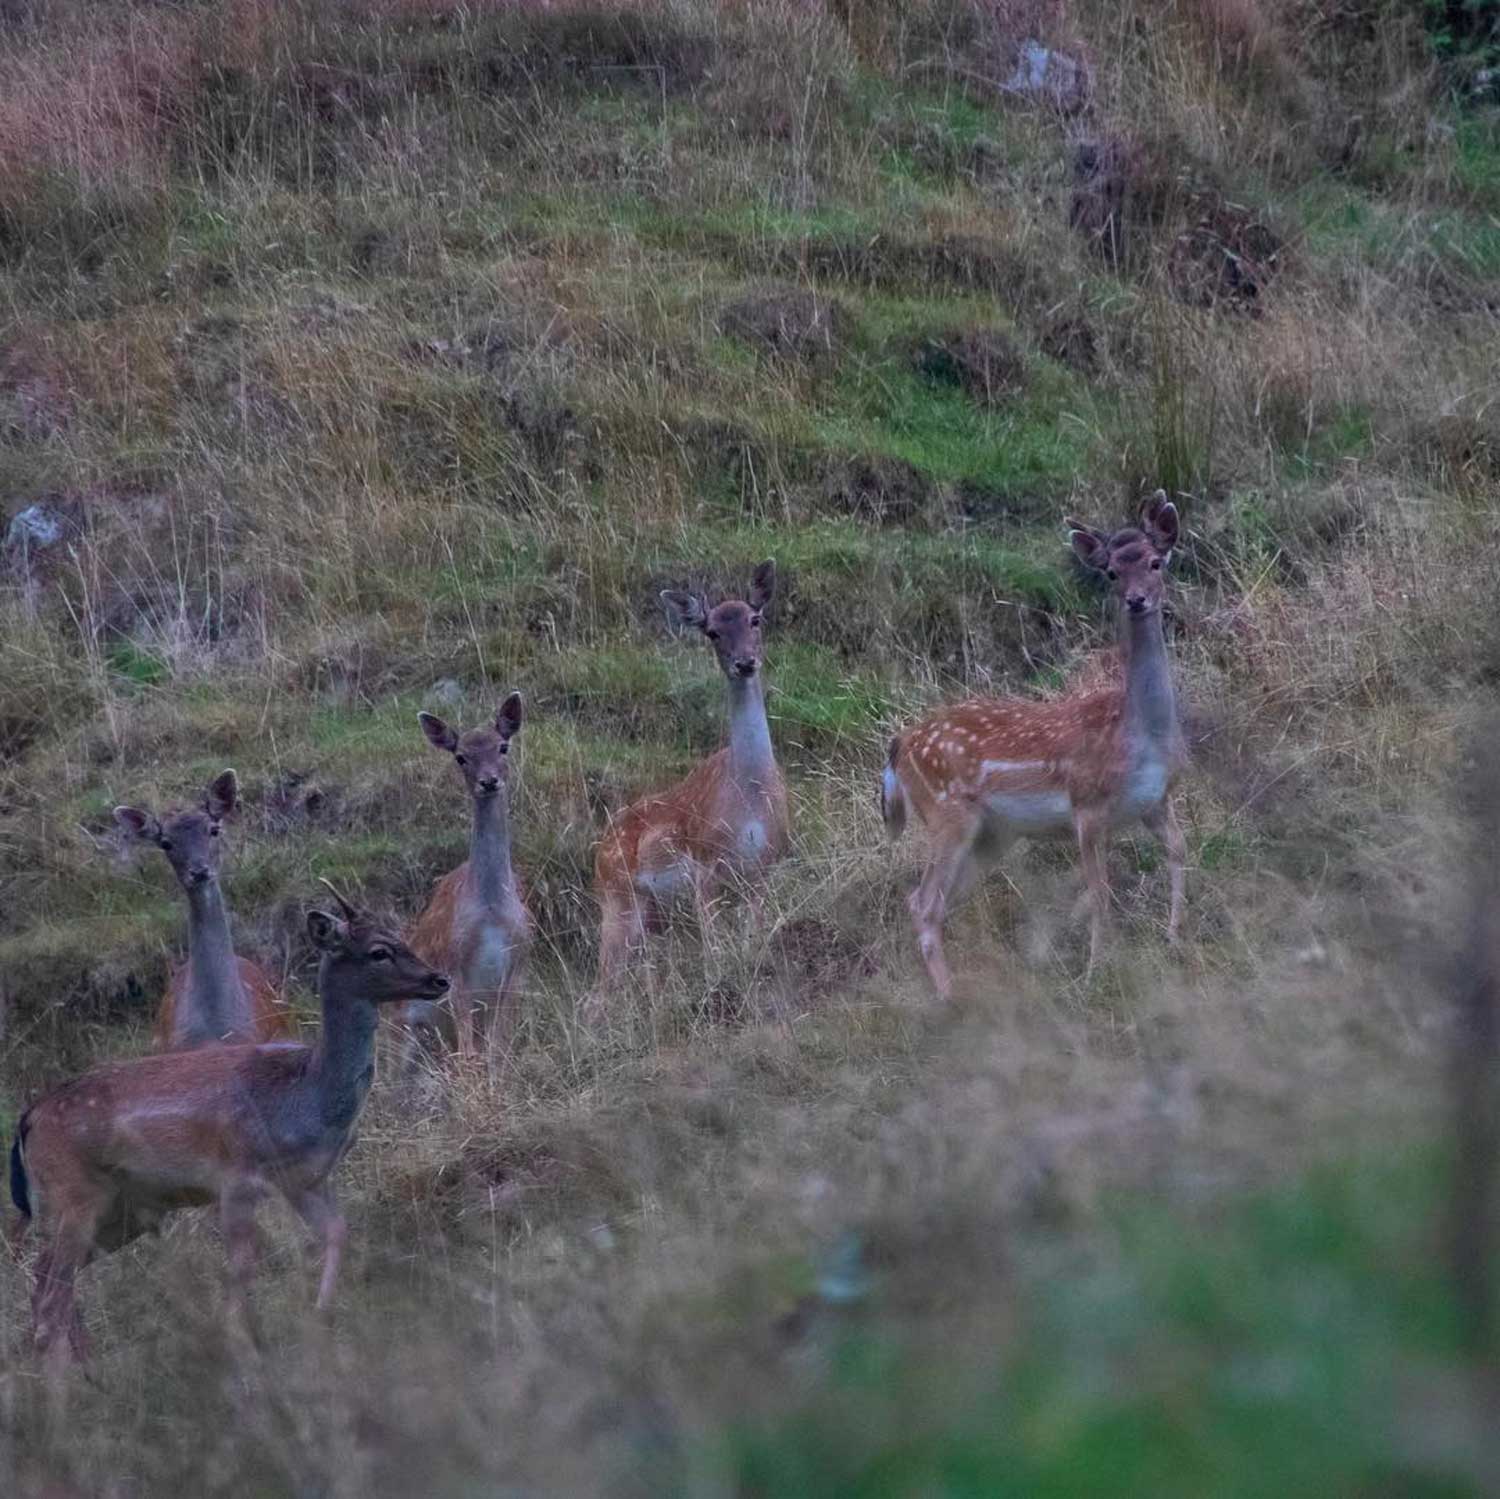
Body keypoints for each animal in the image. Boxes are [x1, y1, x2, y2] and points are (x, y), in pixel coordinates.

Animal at [8, 882, 450, 1372]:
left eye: (400, 936)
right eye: (378, 951)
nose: (439, 980)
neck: (302, 1100)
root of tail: (28, 1119)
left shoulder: (306, 1179)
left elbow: (336, 1233)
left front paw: (321, 1318)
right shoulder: (236, 1176)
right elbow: (241, 1266)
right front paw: (245, 1349)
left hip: (125, 1210)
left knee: (47, 1285)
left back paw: (84, 1375)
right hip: (71, 1196)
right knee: (50, 1293)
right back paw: (62, 1385)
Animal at [403, 693, 532, 1065]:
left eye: (503, 746)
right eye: (461, 757)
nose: (488, 781)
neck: (491, 912)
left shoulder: (517, 967)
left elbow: (497, 1052)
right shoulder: (454, 968)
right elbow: (471, 1055)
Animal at [592, 560, 788, 991]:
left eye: (755, 619)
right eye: (712, 631)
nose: (744, 662)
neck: (749, 794)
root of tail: (598, 850)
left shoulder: (764, 865)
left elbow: (755, 933)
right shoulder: (704, 863)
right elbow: (713, 950)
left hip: (651, 915)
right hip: (617, 901)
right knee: (599, 988)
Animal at [882, 493, 1187, 998]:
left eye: (1155, 561)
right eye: (1111, 573)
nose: (1136, 599)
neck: (1142, 734)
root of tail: (901, 746)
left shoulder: (1157, 800)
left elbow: (1178, 854)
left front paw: (1173, 937)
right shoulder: (1087, 805)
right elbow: (1100, 892)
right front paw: (1096, 973)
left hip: (992, 834)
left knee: (928, 900)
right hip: (946, 813)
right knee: (923, 902)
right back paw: (949, 996)